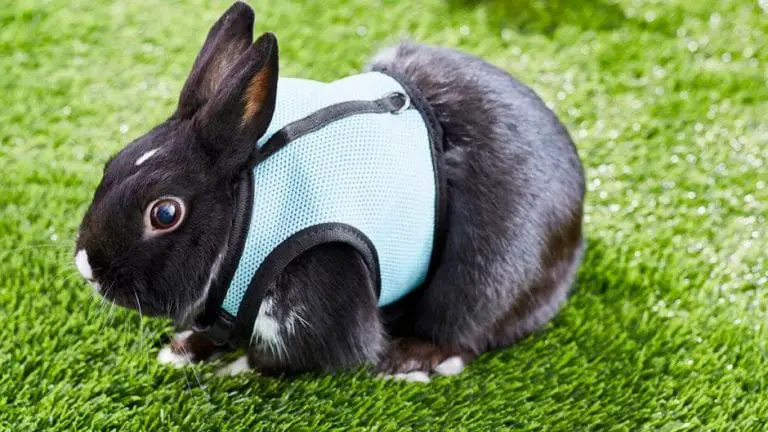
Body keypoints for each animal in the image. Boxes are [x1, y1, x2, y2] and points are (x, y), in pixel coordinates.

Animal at [74, 1, 585, 382]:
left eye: (165, 213)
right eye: (112, 164)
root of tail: (577, 221)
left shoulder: (320, 303)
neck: (247, 210)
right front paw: (180, 350)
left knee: (465, 329)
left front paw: (231, 370)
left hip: (485, 271)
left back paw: (409, 363)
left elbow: (292, 357)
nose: (86, 266)